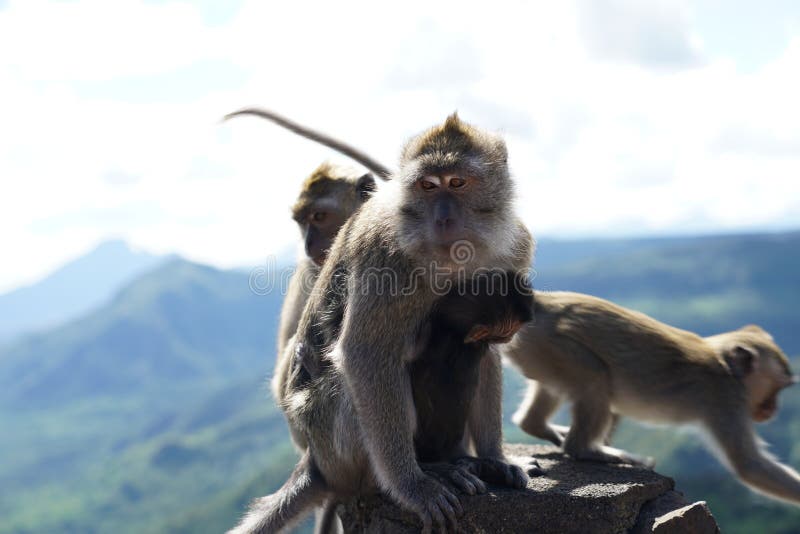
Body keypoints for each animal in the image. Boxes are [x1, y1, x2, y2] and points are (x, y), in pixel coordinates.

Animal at [229, 114, 535, 534]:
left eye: (457, 182)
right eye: (427, 186)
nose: (443, 218)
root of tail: (317, 465)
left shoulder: (515, 248)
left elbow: (488, 350)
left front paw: (496, 458)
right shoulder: (385, 255)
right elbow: (366, 355)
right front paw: (412, 486)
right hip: (330, 440)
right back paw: (420, 471)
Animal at [504, 290, 800, 506]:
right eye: (777, 389)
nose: (774, 409)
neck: (725, 365)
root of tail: (540, 302)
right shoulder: (726, 399)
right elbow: (750, 466)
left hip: (537, 350)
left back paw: (539, 426)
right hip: (555, 347)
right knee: (595, 378)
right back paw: (587, 449)